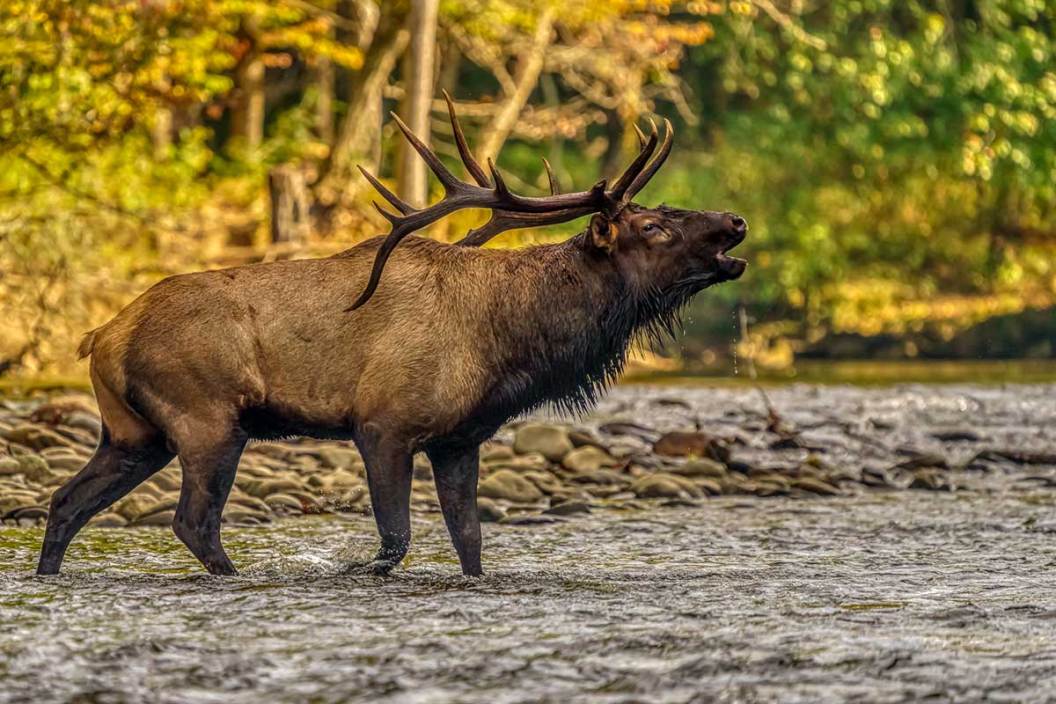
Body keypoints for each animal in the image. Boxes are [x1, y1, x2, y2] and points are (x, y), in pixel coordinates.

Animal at [37, 94, 747, 578]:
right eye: (652, 226)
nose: (735, 222)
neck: (510, 345)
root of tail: (101, 336)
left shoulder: (460, 438)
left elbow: (470, 543)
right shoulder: (383, 424)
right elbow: (395, 540)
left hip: (134, 434)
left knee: (66, 502)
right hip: (207, 419)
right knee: (193, 522)